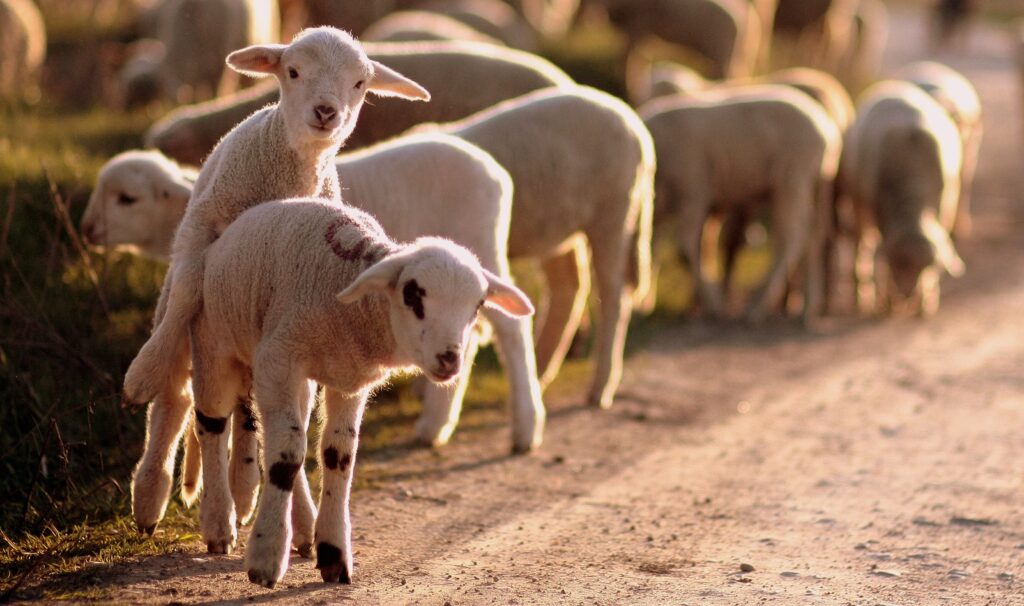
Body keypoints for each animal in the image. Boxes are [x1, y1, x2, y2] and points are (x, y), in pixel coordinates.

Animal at [124, 26, 430, 538]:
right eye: (293, 71)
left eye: (361, 83)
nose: (326, 112)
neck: (288, 168)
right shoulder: (202, 234)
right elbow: (186, 294)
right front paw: (141, 373)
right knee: (174, 398)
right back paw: (152, 492)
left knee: (249, 413)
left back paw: (253, 490)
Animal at [188, 199, 533, 586]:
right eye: (412, 296)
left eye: (477, 307)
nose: (450, 359)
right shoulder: (278, 359)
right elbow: (287, 456)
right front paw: (266, 555)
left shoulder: (348, 379)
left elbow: (338, 453)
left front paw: (333, 552)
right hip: (214, 340)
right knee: (212, 425)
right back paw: (219, 521)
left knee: (283, 432)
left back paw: (304, 527)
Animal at [424, 86, 655, 409]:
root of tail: (638, 129)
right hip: (559, 225)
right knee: (568, 289)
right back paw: (542, 371)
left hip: (614, 210)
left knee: (613, 296)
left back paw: (599, 387)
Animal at [640, 85, 841, 322]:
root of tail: (826, 127)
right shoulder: (658, 210)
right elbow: (651, 250)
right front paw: (643, 304)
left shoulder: (693, 192)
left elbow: (686, 249)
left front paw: (714, 304)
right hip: (813, 182)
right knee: (812, 236)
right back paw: (807, 308)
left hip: (791, 180)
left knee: (793, 239)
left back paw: (757, 306)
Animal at [839, 80, 964, 317]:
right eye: (896, 266)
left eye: (925, 268)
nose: (907, 296)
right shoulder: (878, 208)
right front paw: (888, 301)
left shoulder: (944, 205)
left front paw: (926, 303)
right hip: (859, 199)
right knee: (862, 244)